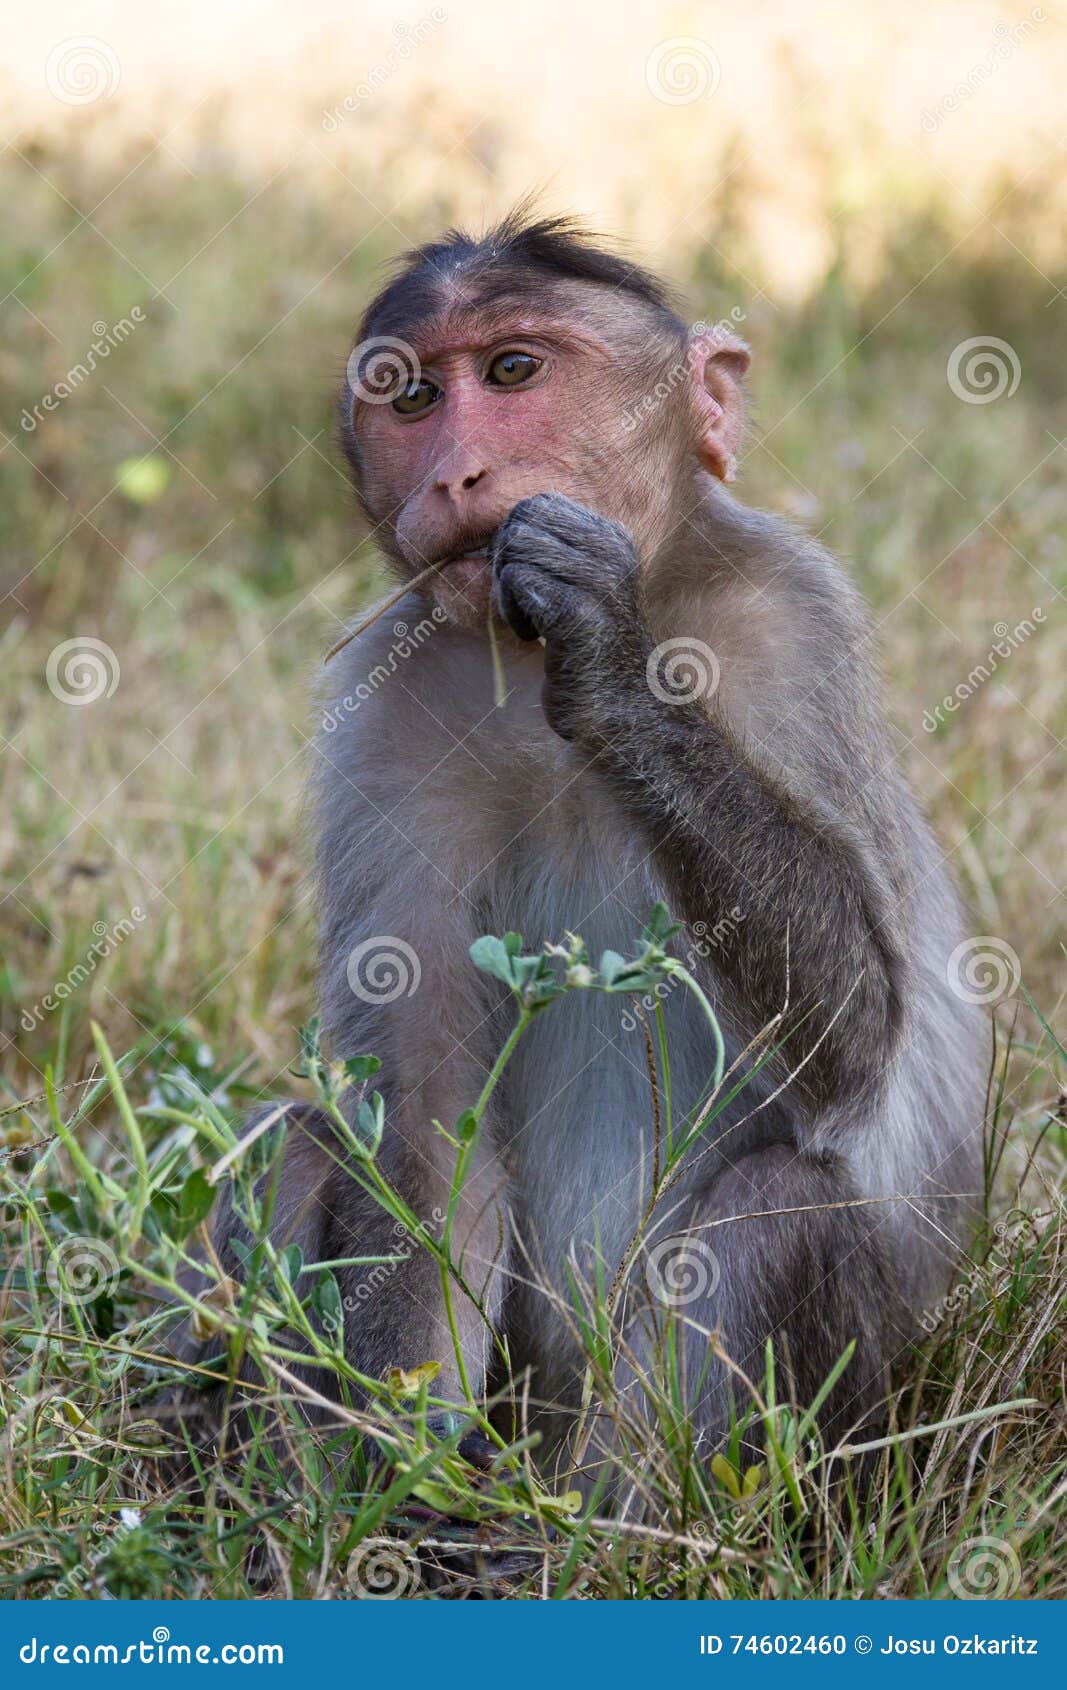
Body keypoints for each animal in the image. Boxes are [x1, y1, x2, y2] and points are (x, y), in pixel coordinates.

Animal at [176, 211, 985, 1490]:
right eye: (412, 397)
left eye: (514, 371)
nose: (456, 472)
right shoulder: (384, 703)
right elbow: (422, 1118)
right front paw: (391, 1482)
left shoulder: (792, 617)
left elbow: (858, 1042)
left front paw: (609, 671)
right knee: (301, 1135)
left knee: (780, 1207)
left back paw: (619, 1517)